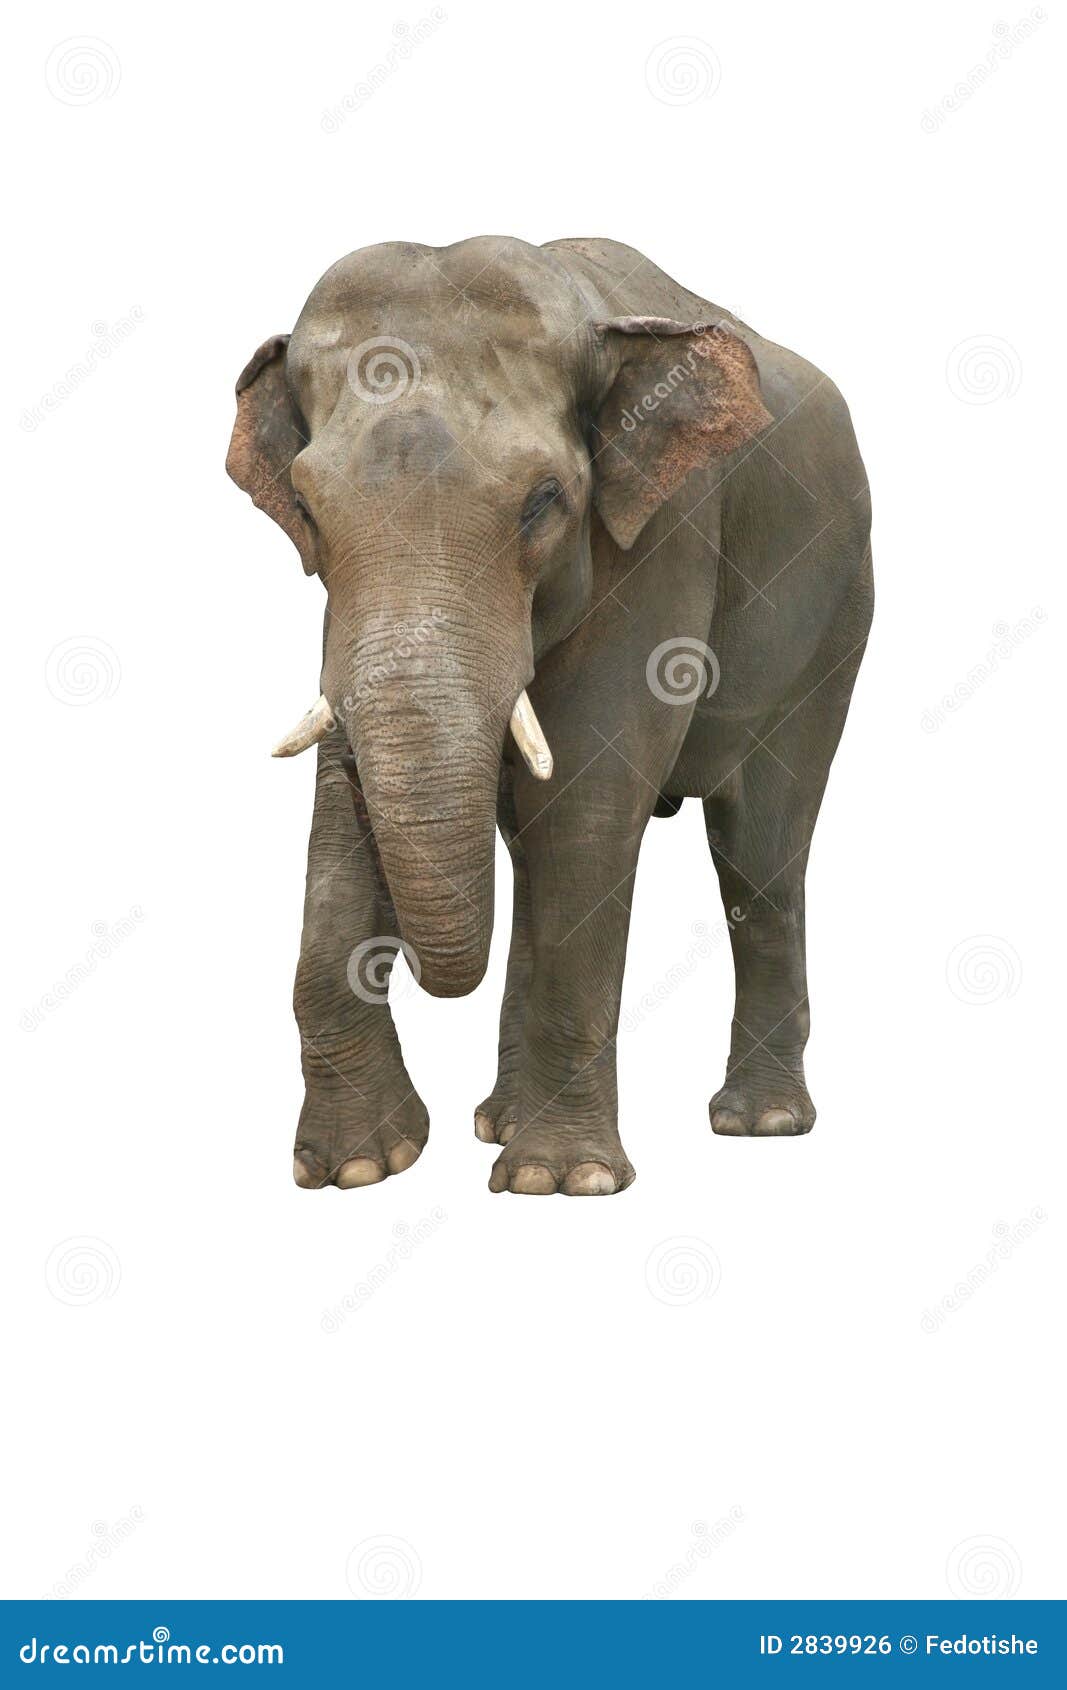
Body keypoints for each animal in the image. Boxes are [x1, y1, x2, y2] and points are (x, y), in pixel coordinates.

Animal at [226, 236, 873, 1196]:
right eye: (305, 508)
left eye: (542, 501)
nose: (405, 961)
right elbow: (341, 808)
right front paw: (358, 1167)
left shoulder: (664, 536)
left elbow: (590, 801)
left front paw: (558, 1182)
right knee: (536, 858)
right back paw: (497, 1120)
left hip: (835, 621)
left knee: (760, 852)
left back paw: (760, 1123)